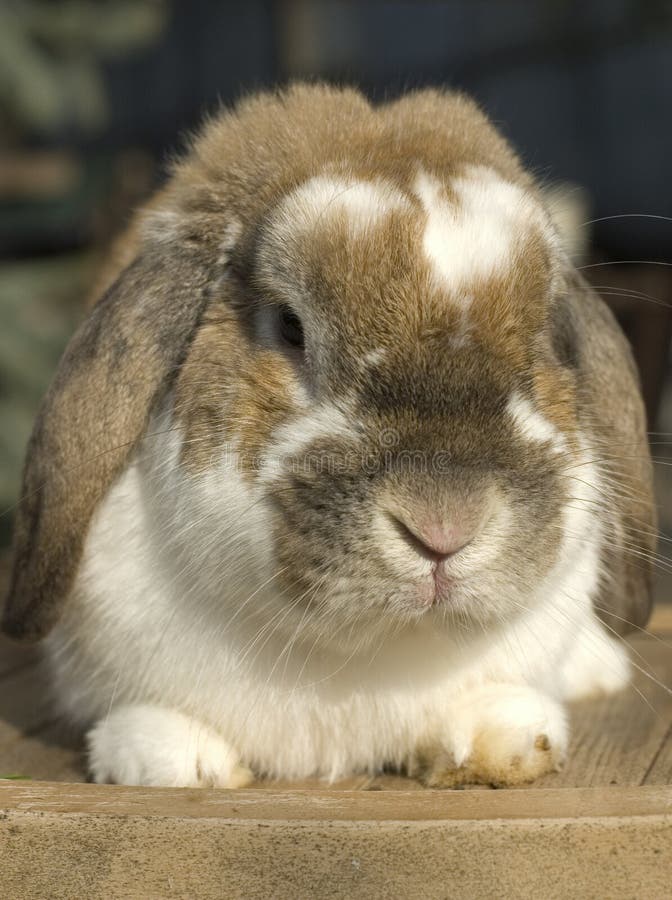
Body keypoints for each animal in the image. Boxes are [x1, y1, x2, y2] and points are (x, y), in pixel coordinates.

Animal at [2, 84, 656, 788]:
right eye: (289, 327)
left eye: (541, 344)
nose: (443, 528)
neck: (358, 661)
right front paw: (174, 759)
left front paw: (504, 740)